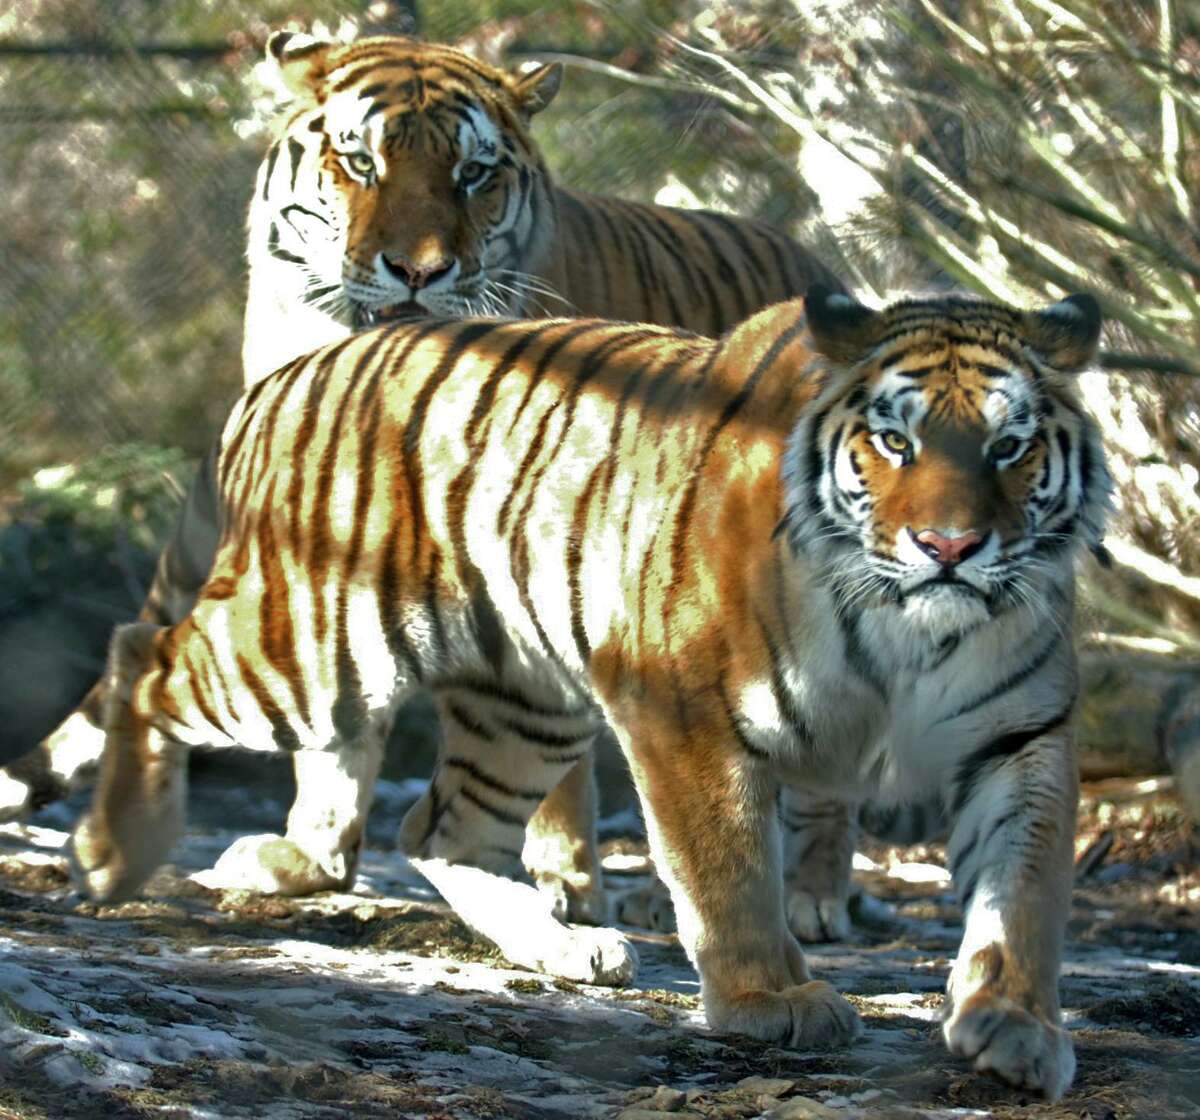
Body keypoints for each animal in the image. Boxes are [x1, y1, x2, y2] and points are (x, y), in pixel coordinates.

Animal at [0, 29, 851, 935]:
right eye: (360, 162)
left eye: (474, 173)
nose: (419, 270)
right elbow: (337, 714)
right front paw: (313, 856)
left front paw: (564, 882)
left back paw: (806, 898)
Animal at [70, 284, 1108, 1099]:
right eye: (894, 442)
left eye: (1009, 447)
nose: (950, 546)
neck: (912, 628)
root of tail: (282, 378)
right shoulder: (682, 708)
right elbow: (727, 870)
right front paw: (769, 1000)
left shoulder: (1020, 736)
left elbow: (1024, 891)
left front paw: (1016, 1024)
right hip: (316, 644)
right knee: (140, 653)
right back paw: (114, 854)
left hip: (523, 701)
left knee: (439, 831)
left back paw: (567, 947)